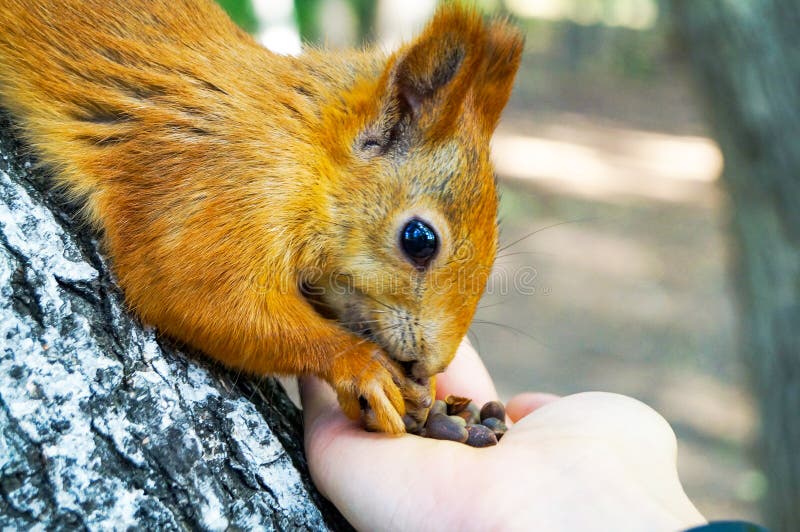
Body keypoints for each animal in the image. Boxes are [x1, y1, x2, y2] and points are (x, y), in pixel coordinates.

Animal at [0, 0, 522, 434]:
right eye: (419, 239)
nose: (431, 366)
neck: (304, 148)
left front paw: (424, 393)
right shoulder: (222, 191)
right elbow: (194, 292)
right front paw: (361, 366)